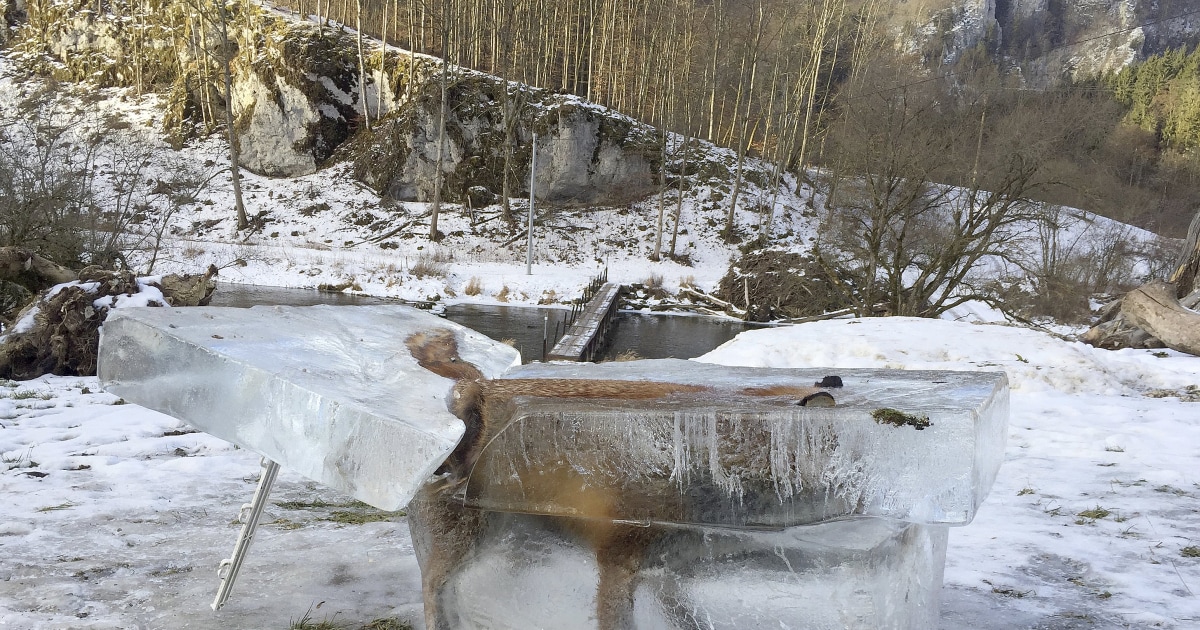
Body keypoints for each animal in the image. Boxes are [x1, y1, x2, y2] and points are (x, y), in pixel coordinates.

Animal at [405, 328, 836, 629]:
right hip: (466, 538)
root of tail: (480, 387)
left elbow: (689, 617)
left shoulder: (668, 572)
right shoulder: (620, 556)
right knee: (432, 588)